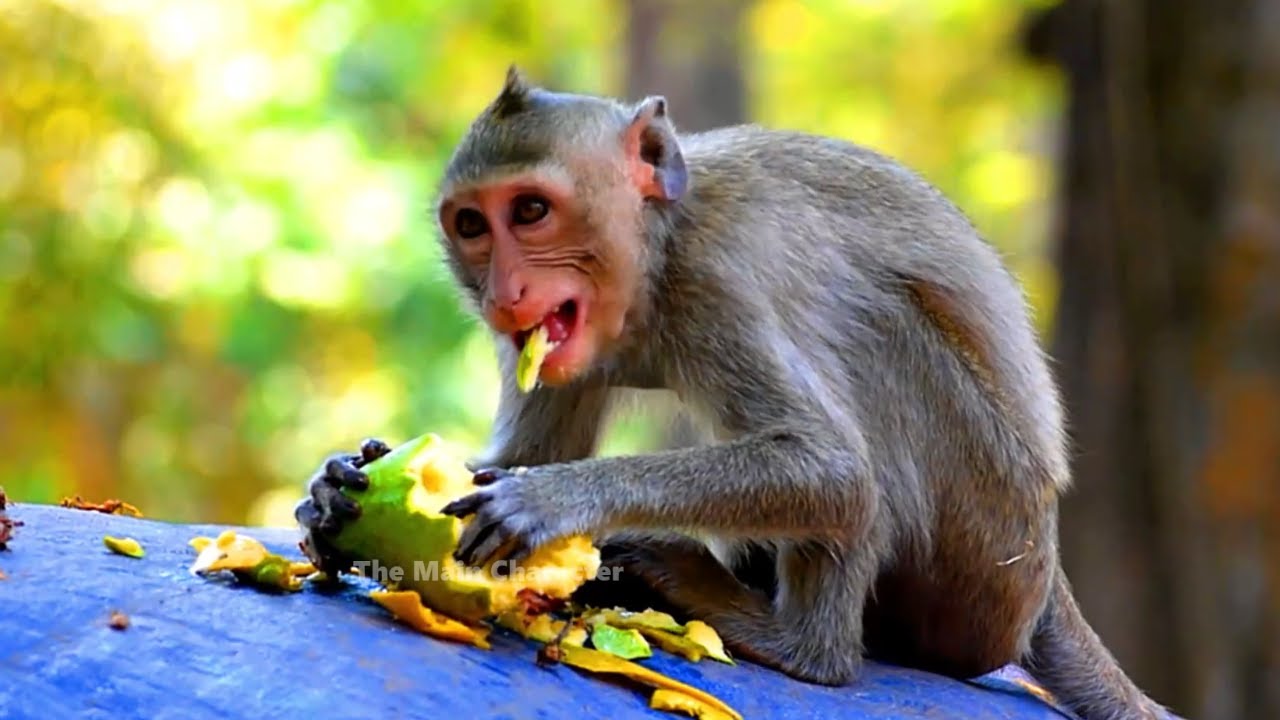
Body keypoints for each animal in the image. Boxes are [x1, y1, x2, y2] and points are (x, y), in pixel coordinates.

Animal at [295, 67, 1167, 720]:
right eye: (472, 225)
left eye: (532, 211)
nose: (506, 293)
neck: (657, 253)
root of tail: (1044, 573)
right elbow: (521, 452)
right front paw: (338, 486)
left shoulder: (714, 282)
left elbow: (834, 472)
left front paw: (556, 499)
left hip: (986, 542)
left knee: (877, 336)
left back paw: (799, 645)